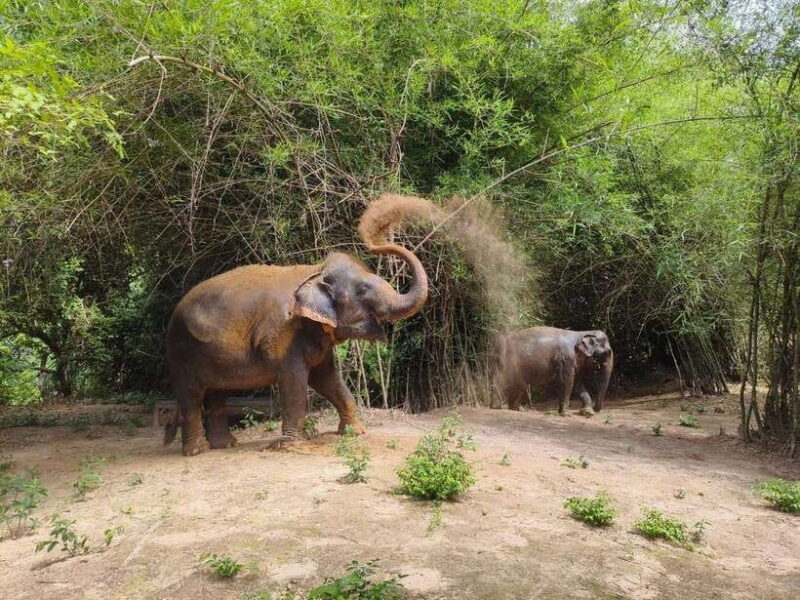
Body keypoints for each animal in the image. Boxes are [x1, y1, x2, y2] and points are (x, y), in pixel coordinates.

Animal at [164, 216, 428, 456]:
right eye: (363, 290)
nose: (376, 238)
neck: (314, 271)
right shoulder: (284, 334)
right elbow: (295, 382)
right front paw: (291, 445)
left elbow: (328, 379)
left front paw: (354, 432)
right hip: (180, 351)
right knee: (192, 396)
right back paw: (197, 450)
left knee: (217, 393)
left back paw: (225, 445)